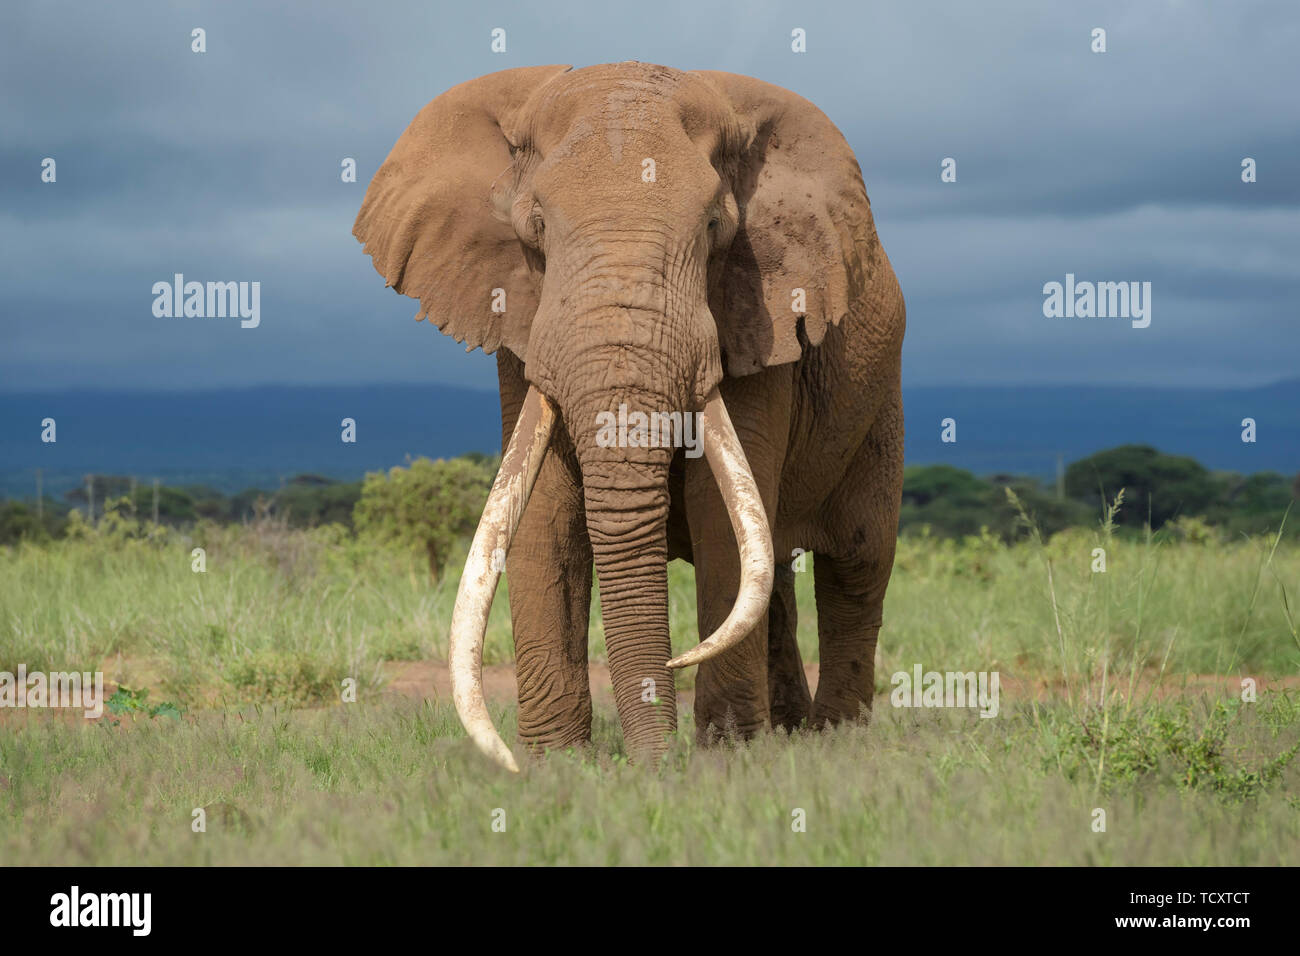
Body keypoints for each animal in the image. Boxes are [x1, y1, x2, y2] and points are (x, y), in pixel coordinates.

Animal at [354, 62, 905, 771]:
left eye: (714, 227)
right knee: (781, 570)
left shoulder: (761, 317)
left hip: (880, 399)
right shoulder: (520, 325)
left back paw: (834, 741)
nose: (655, 765)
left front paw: (724, 760)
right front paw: (553, 767)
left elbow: (721, 516)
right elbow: (544, 513)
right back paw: (786, 734)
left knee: (856, 564)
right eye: (536, 226)